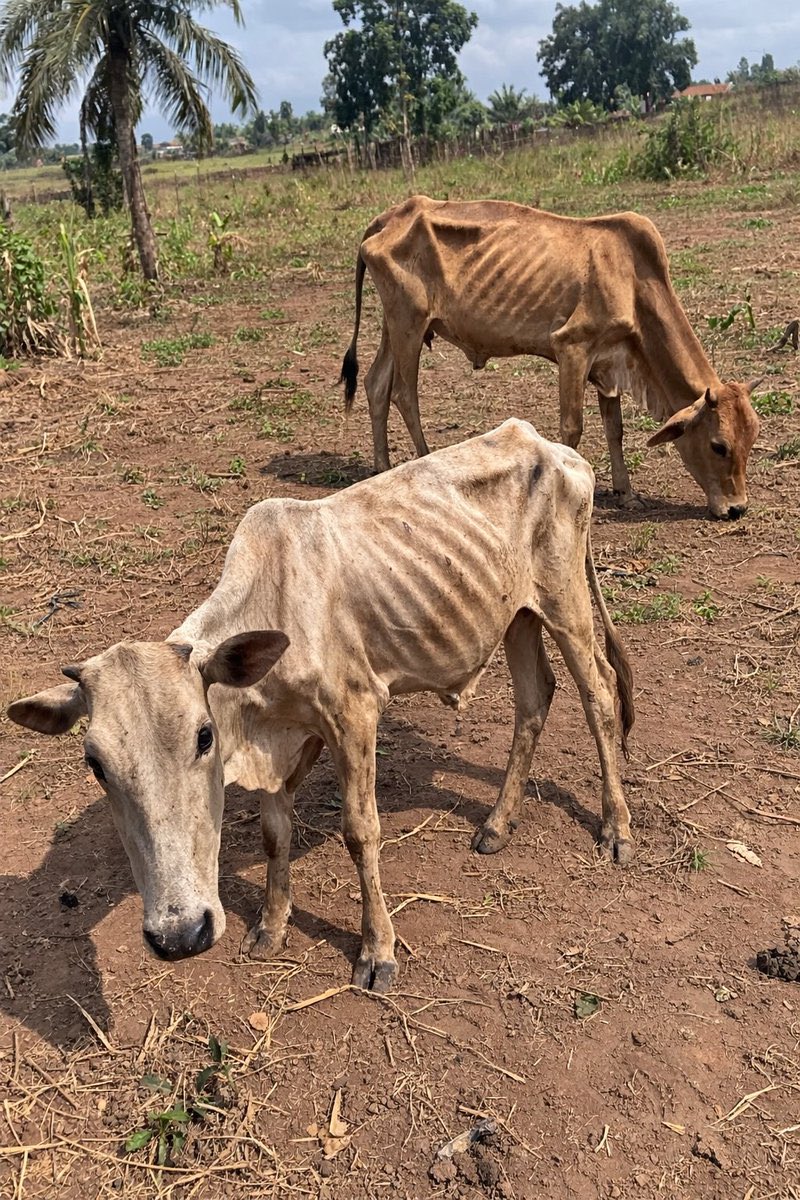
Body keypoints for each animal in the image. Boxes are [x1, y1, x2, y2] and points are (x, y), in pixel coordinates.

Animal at [8, 420, 634, 994]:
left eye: (203, 736)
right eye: (95, 765)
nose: (180, 935)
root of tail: (552, 447)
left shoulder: (353, 715)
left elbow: (360, 831)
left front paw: (377, 952)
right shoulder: (281, 742)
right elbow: (274, 833)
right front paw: (270, 927)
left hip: (564, 600)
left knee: (600, 694)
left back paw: (617, 829)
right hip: (517, 615)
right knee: (534, 698)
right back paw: (498, 824)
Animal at [339, 194, 761, 520]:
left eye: (752, 441)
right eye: (718, 446)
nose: (736, 509)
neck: (633, 280)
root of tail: (391, 216)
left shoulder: (609, 366)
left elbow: (615, 429)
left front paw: (627, 494)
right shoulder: (572, 348)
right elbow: (572, 428)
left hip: (397, 325)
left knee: (376, 384)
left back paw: (381, 466)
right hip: (408, 323)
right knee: (404, 394)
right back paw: (424, 463)